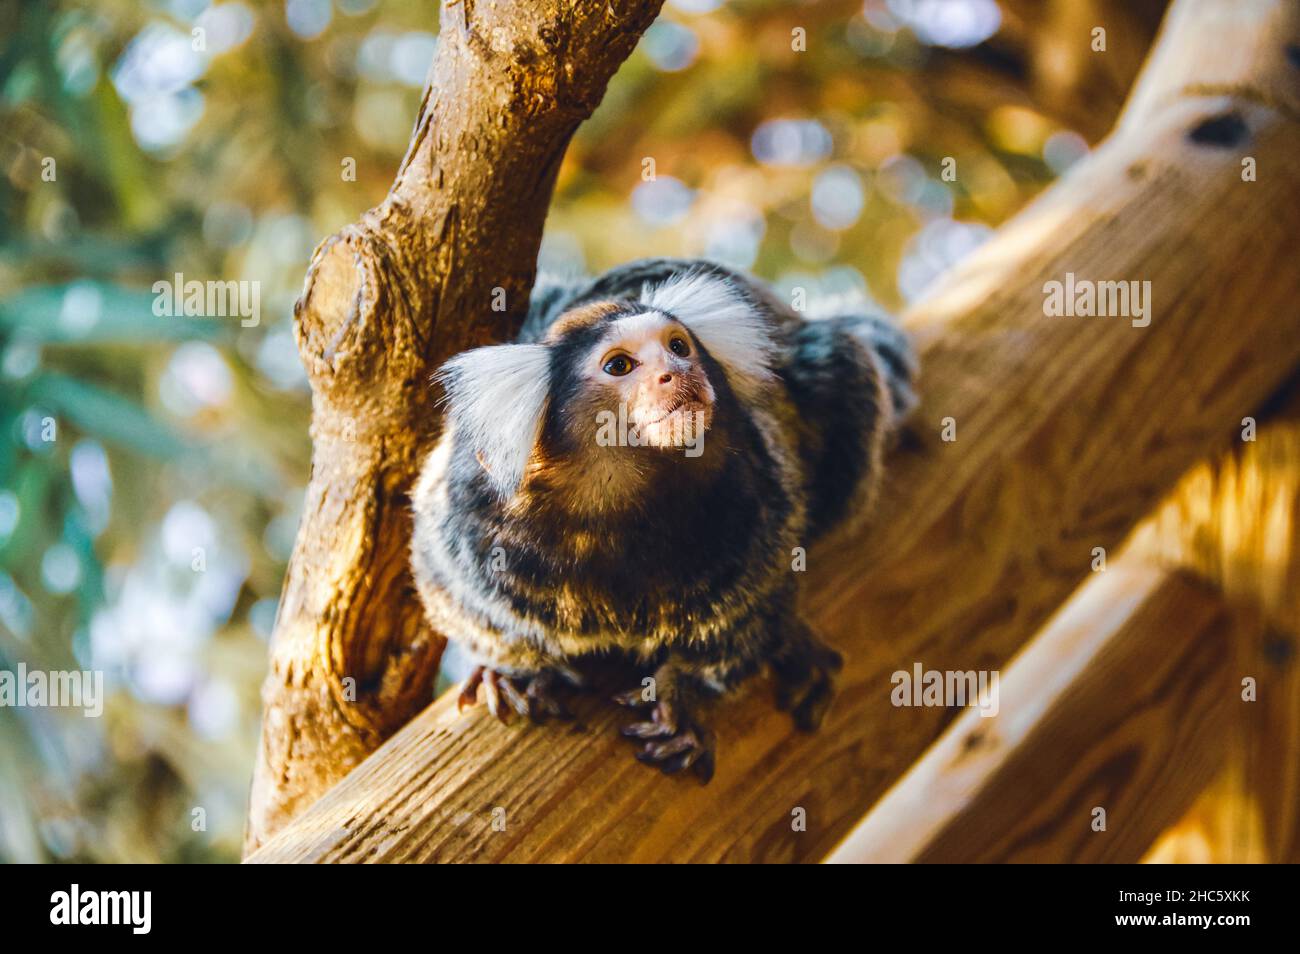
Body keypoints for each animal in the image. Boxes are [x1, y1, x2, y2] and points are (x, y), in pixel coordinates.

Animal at [410, 258, 916, 781]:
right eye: (619, 365)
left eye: (678, 347)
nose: (678, 372)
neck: (618, 510)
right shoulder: (467, 521)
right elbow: (451, 591)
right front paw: (512, 669)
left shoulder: (764, 504)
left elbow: (753, 611)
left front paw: (681, 689)